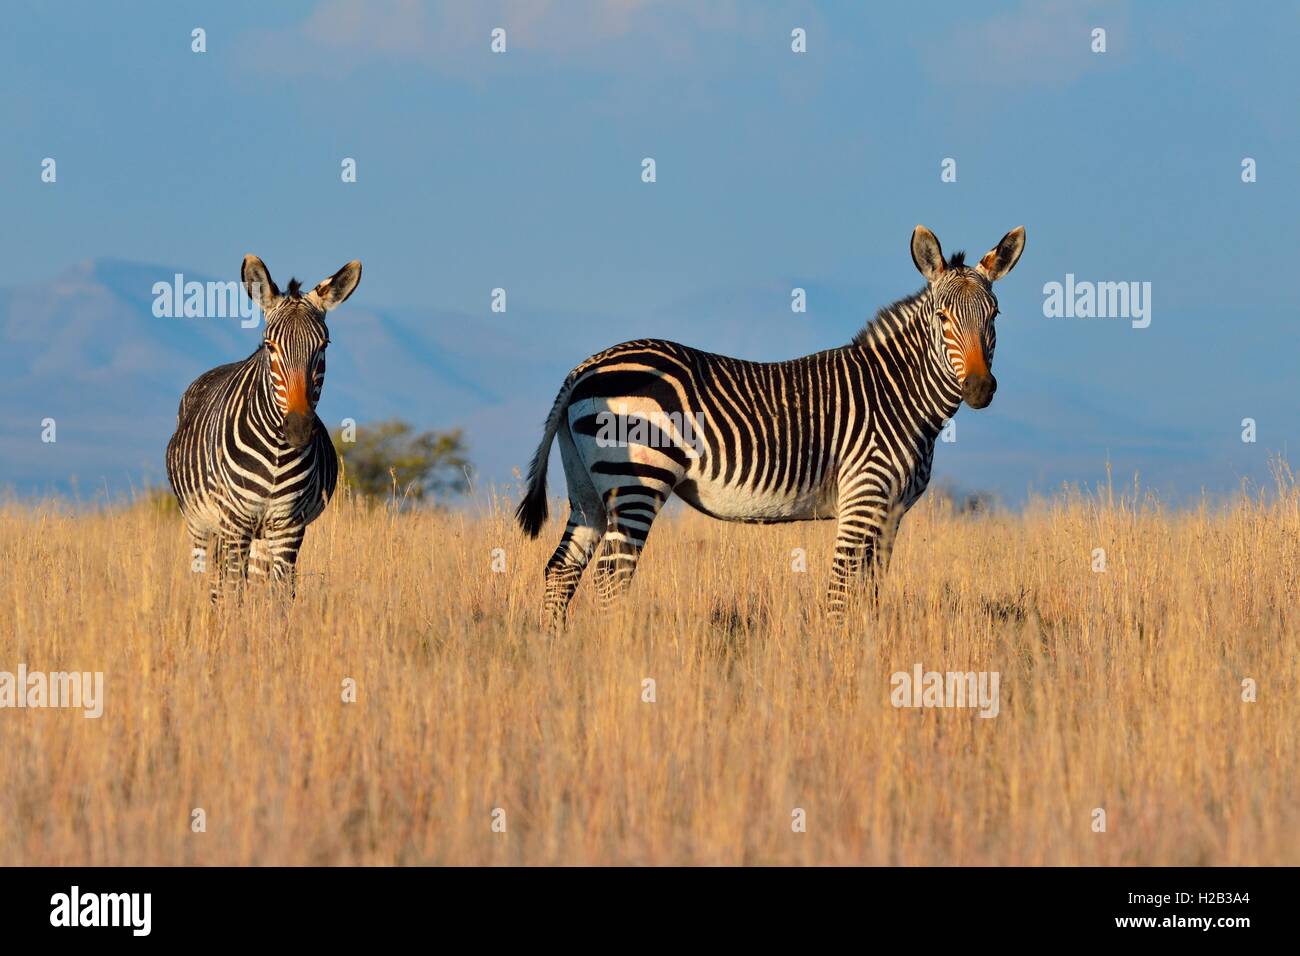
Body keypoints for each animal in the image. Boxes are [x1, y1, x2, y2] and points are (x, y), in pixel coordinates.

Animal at [166, 255, 362, 599]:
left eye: (324, 345)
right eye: (270, 346)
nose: (298, 428)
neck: (277, 452)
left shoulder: (288, 526)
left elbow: (280, 596)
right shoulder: (236, 522)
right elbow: (234, 592)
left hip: (259, 535)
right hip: (201, 522)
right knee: (213, 583)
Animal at [516, 225, 1025, 628]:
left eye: (994, 315)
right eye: (942, 317)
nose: (980, 388)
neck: (897, 392)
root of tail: (585, 367)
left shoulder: (891, 512)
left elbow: (870, 593)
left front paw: (866, 650)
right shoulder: (863, 497)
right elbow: (841, 591)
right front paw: (838, 661)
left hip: (587, 485)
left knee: (562, 569)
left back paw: (557, 652)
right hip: (637, 480)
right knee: (609, 579)